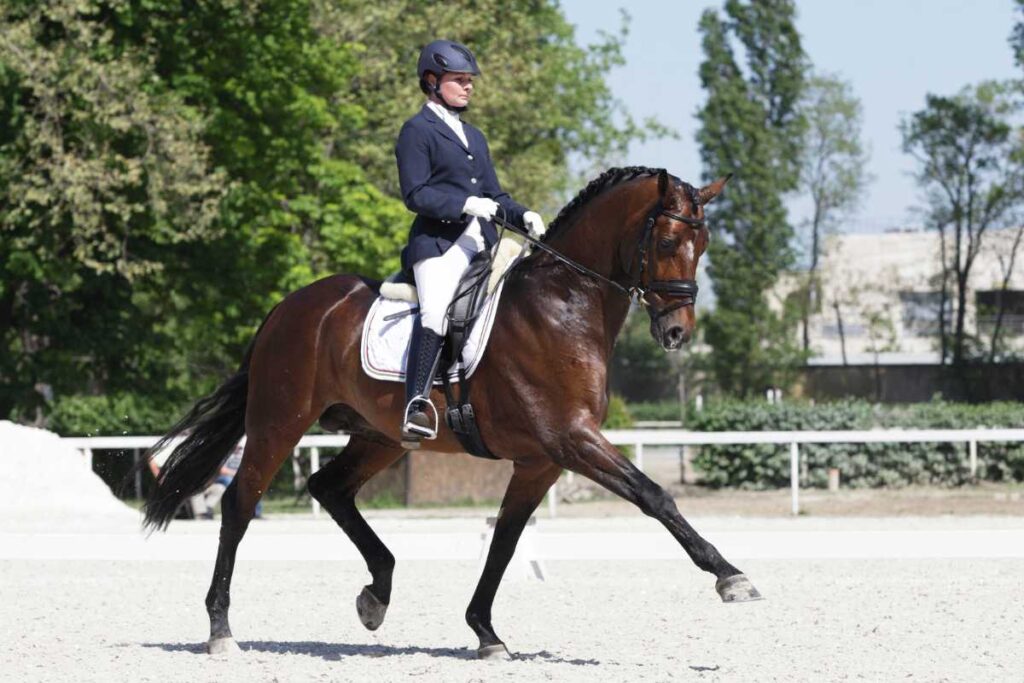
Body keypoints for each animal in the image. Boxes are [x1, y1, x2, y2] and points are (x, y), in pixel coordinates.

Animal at [141, 165, 761, 660]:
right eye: (667, 239)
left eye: (704, 243)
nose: (677, 333)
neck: (563, 305)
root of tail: (290, 305)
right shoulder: (572, 440)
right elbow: (655, 496)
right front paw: (731, 577)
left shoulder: (541, 461)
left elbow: (505, 541)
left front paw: (485, 633)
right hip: (279, 421)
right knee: (239, 504)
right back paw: (221, 630)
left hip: (379, 435)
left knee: (328, 488)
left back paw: (377, 594)